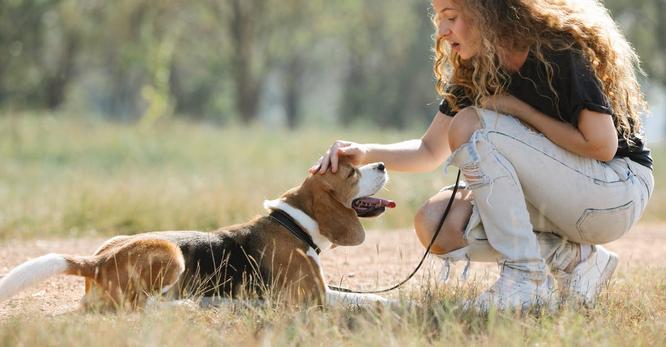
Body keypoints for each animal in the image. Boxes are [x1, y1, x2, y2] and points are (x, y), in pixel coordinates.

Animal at [0, 159, 394, 312]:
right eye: (351, 173)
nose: (381, 163)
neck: (294, 222)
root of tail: (97, 261)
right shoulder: (312, 297)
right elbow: (360, 300)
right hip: (169, 253)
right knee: (144, 306)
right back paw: (193, 304)